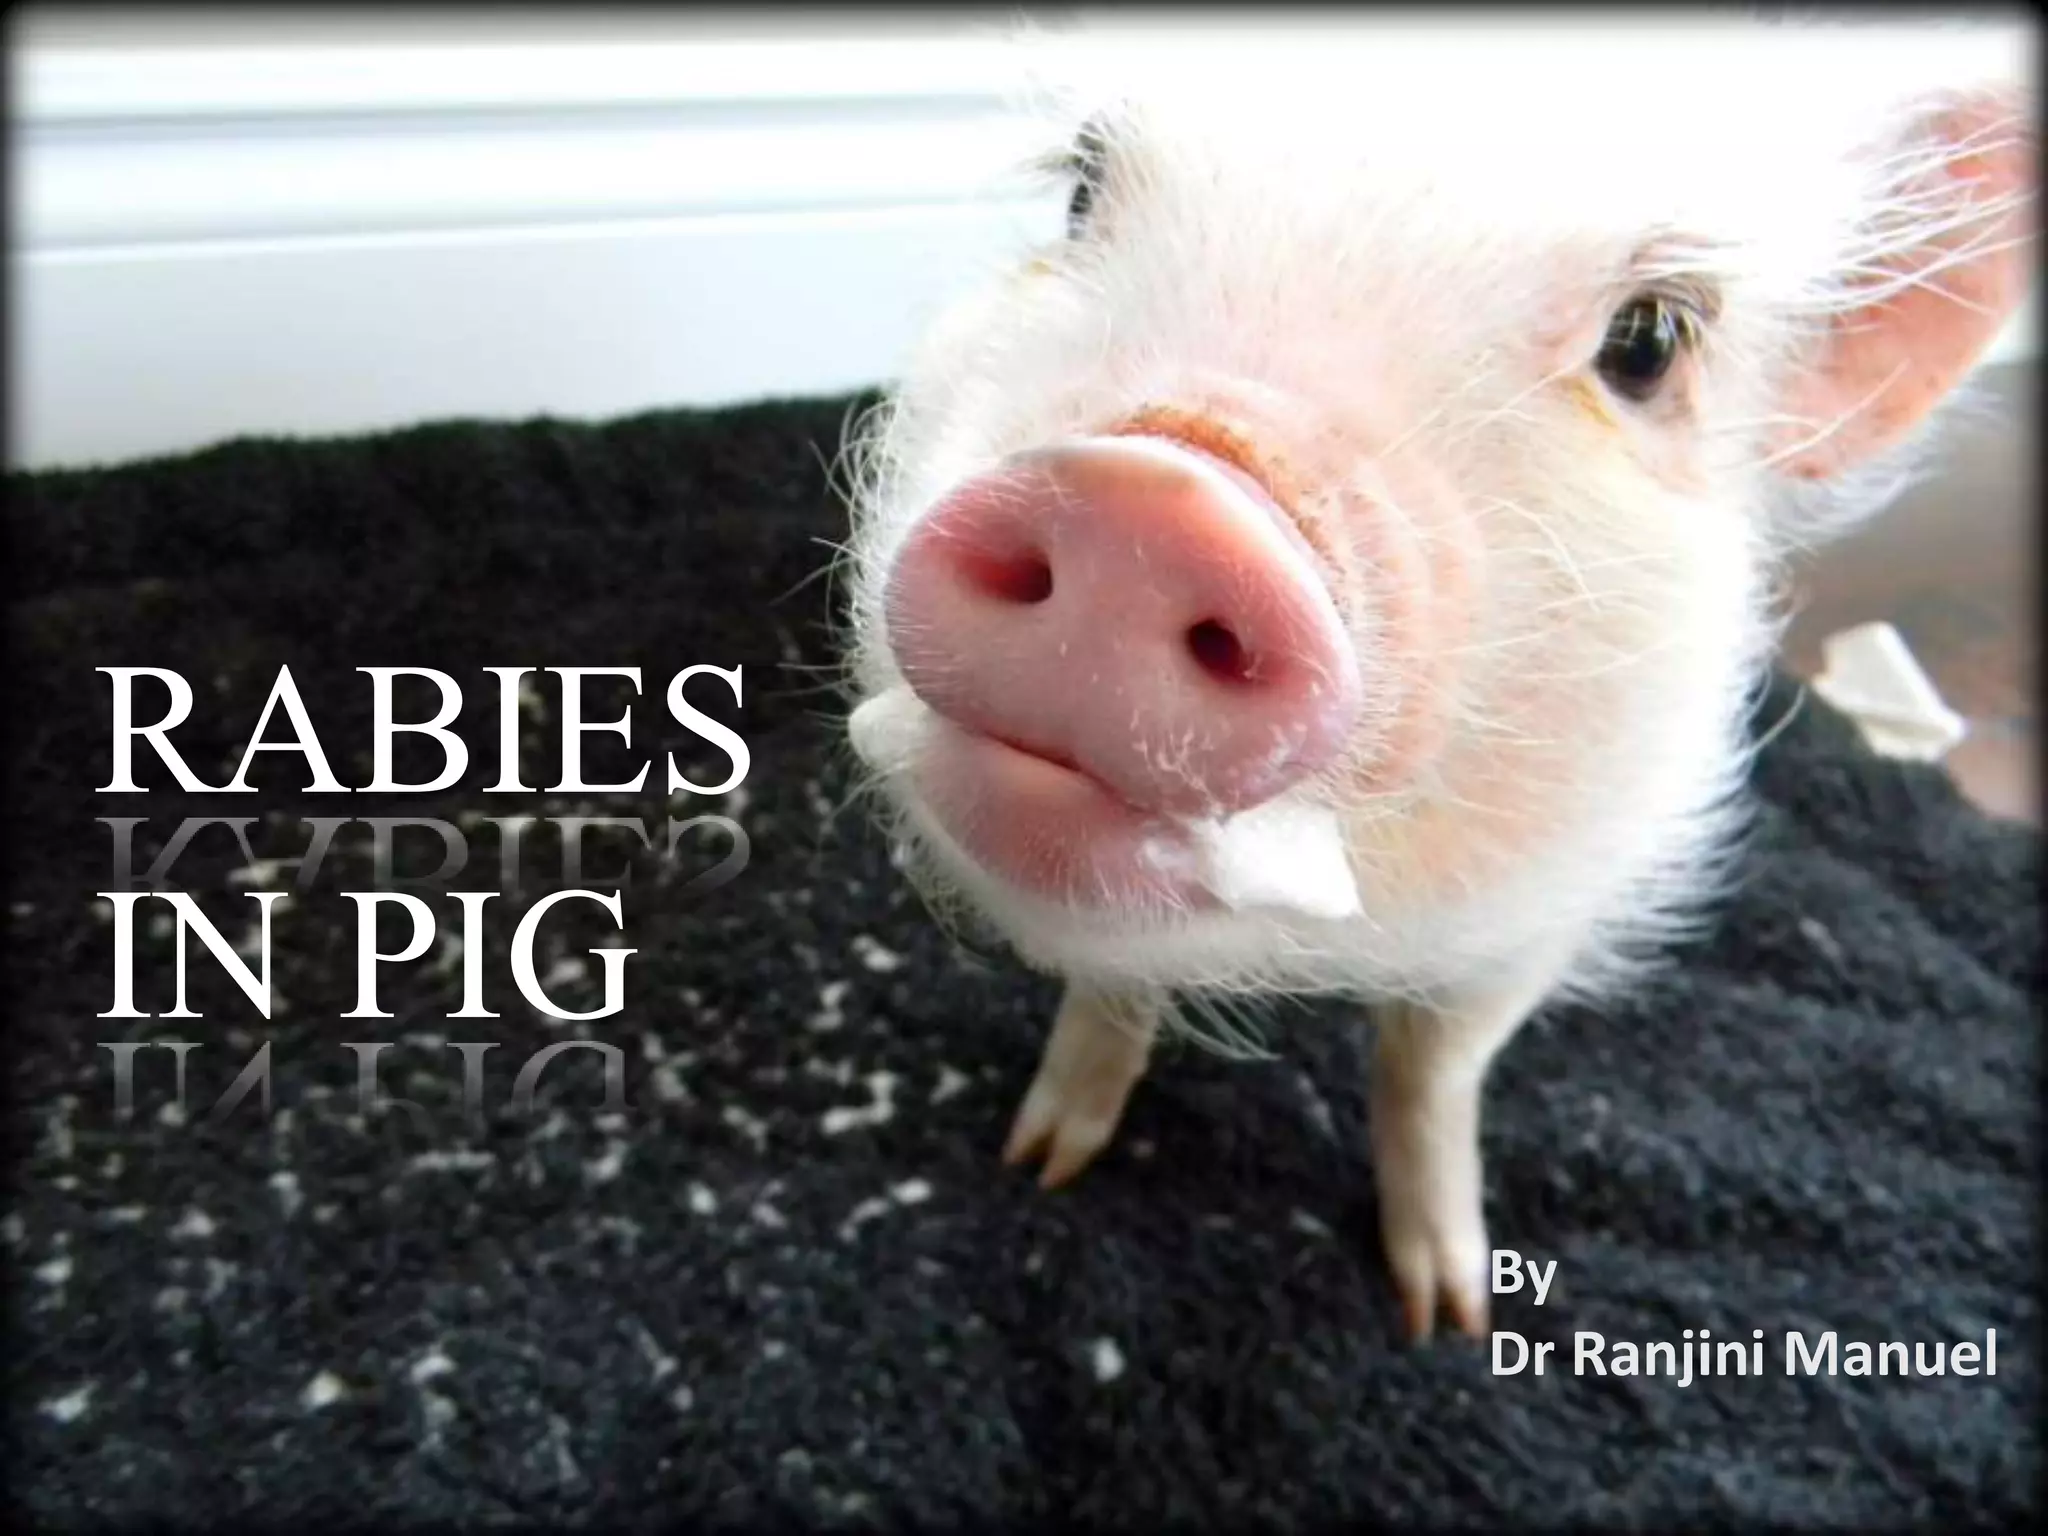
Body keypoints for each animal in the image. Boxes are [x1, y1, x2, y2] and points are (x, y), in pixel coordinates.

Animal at [837, 16, 2036, 1340]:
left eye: (1646, 342)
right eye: (1083, 190)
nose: (1147, 499)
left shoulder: (1545, 918)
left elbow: (1430, 1072)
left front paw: (1444, 1313)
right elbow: (1106, 1000)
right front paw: (1040, 1161)